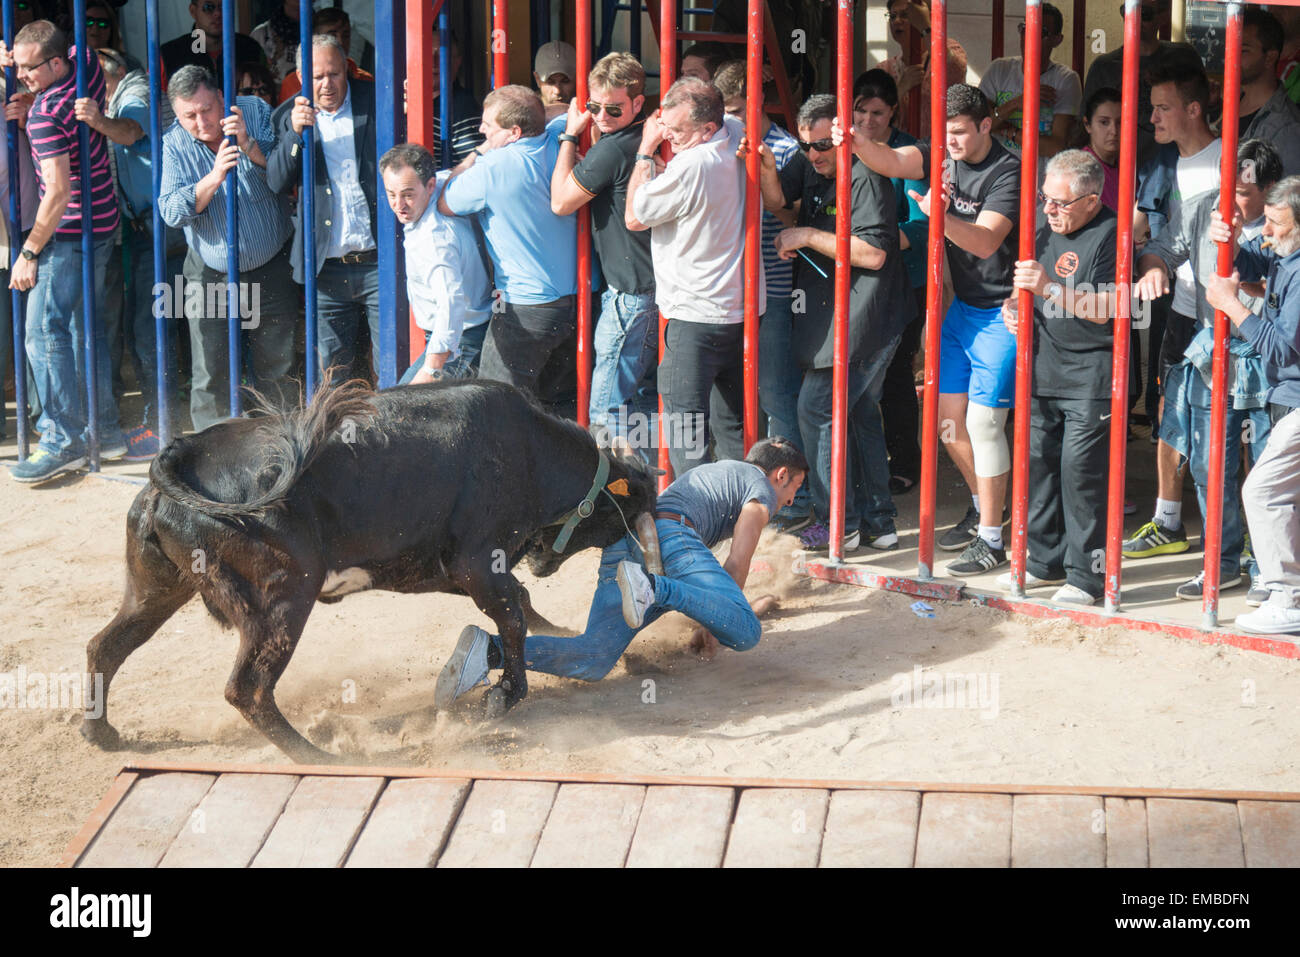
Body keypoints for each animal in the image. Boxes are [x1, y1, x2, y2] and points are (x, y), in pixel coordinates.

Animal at [81, 375, 662, 763]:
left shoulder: (448, 571)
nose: (544, 562)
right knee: (247, 688)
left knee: (105, 646)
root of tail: (182, 452)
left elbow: (520, 607)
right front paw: (502, 696)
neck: (531, 452)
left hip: (155, 589)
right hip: (282, 601)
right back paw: (316, 757)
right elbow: (513, 615)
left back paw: (101, 733)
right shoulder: (478, 563)